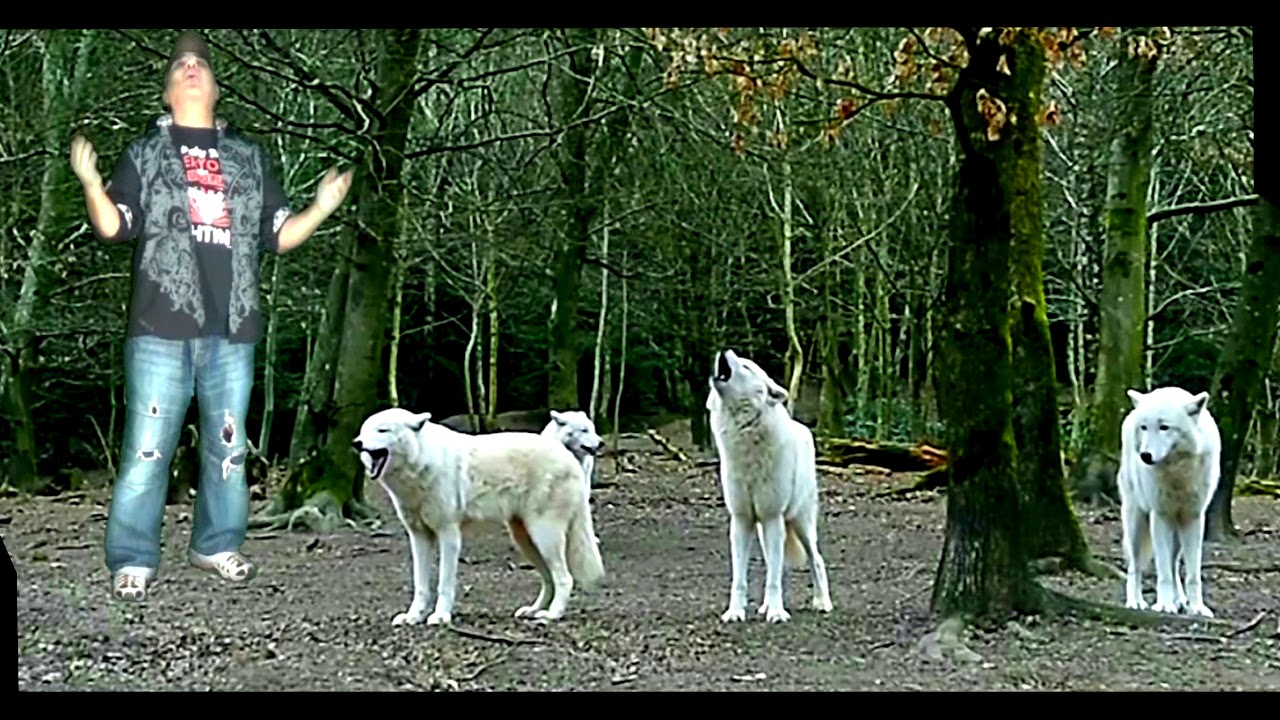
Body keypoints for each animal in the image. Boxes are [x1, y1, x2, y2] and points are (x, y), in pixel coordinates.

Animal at [352, 408, 604, 626]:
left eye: (382, 430)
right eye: (365, 430)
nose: (356, 443)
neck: (421, 463)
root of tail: (568, 457)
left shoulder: (449, 534)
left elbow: (444, 583)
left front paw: (440, 616)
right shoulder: (419, 536)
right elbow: (420, 585)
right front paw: (413, 617)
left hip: (545, 536)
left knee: (565, 578)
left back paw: (552, 615)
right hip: (526, 540)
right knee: (549, 579)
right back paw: (533, 610)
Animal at [706, 348, 833, 623]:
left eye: (746, 366)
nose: (724, 351)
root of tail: (803, 427)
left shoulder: (773, 517)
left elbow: (774, 578)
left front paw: (776, 613)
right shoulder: (742, 520)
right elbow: (740, 579)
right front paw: (735, 612)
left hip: (800, 523)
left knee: (816, 559)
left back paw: (823, 603)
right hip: (765, 530)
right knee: (774, 564)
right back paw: (764, 606)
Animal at [1117, 386, 1221, 617]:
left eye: (1164, 427)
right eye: (1144, 427)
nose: (1145, 456)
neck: (1177, 474)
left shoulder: (1193, 518)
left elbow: (1192, 575)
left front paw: (1197, 608)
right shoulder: (1160, 516)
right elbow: (1162, 572)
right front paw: (1164, 605)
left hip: (1177, 527)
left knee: (1174, 564)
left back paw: (1180, 600)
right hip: (1137, 520)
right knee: (1134, 566)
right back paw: (1135, 601)